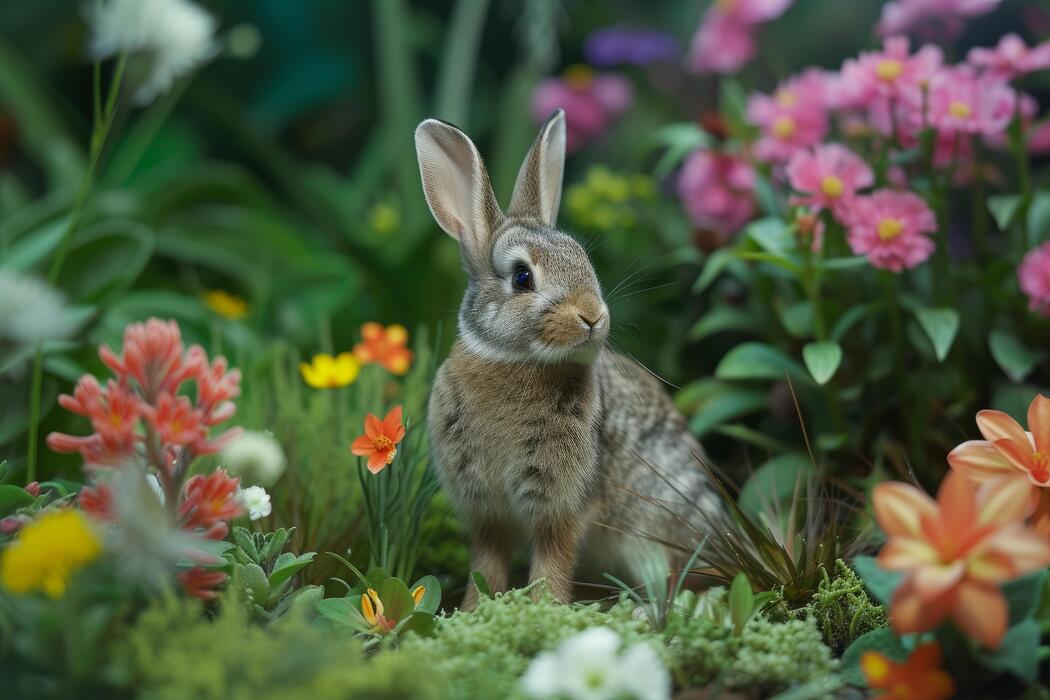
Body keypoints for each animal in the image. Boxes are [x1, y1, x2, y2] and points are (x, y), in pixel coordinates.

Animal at [415, 109, 723, 610]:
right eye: (522, 277)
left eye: (583, 259)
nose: (593, 316)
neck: (512, 361)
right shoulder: (485, 509)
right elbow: (487, 562)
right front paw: (475, 610)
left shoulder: (562, 502)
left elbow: (553, 559)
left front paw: (545, 609)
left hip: (650, 533)